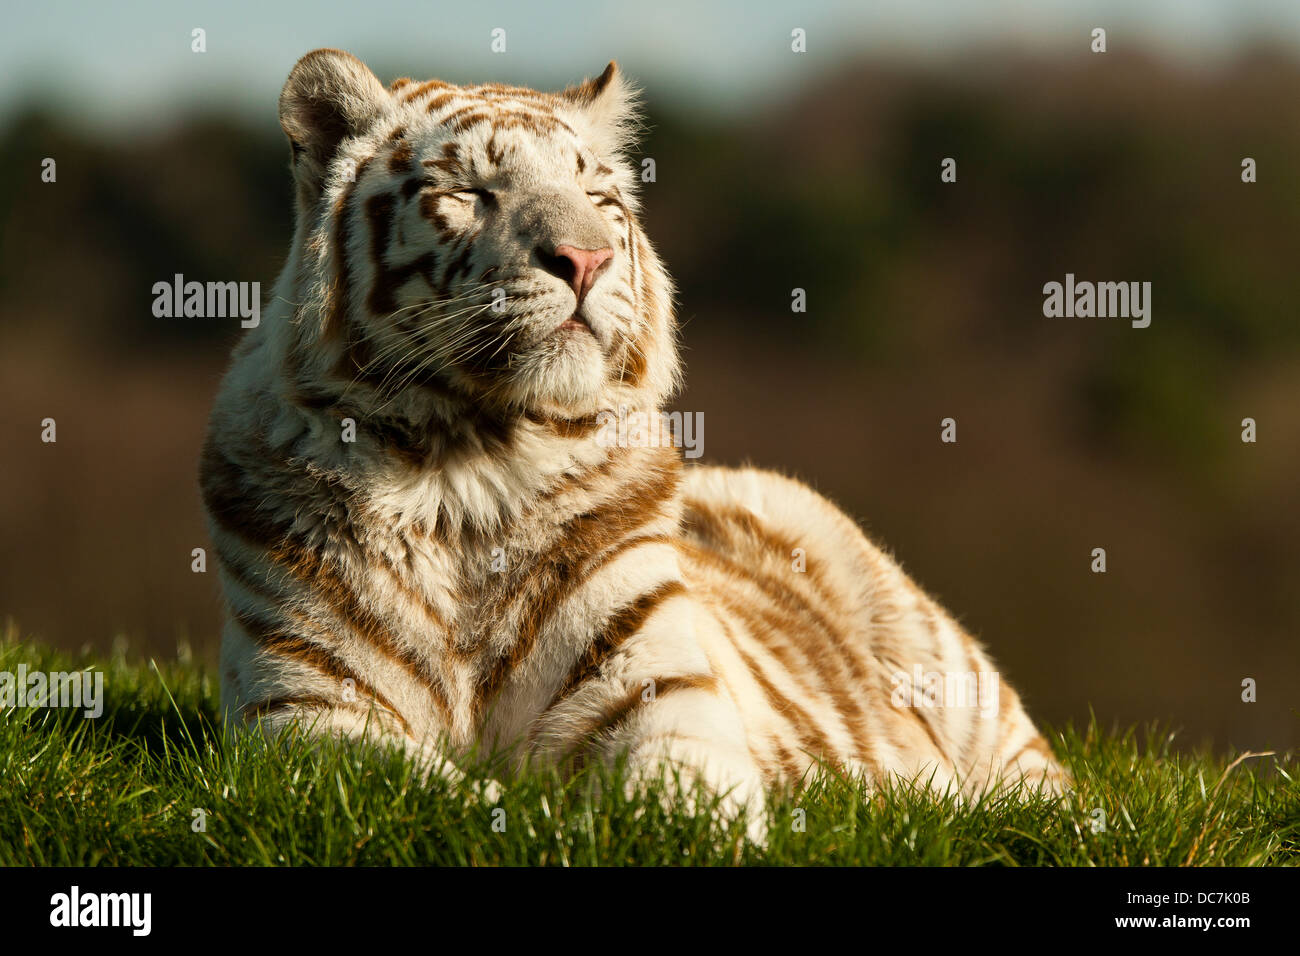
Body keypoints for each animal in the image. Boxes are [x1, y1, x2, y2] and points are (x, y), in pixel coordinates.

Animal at [199, 48, 1067, 835]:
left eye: (597, 195)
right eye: (470, 193)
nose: (586, 259)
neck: (470, 472)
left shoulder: (664, 691)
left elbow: (678, 798)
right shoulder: (303, 711)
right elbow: (436, 796)